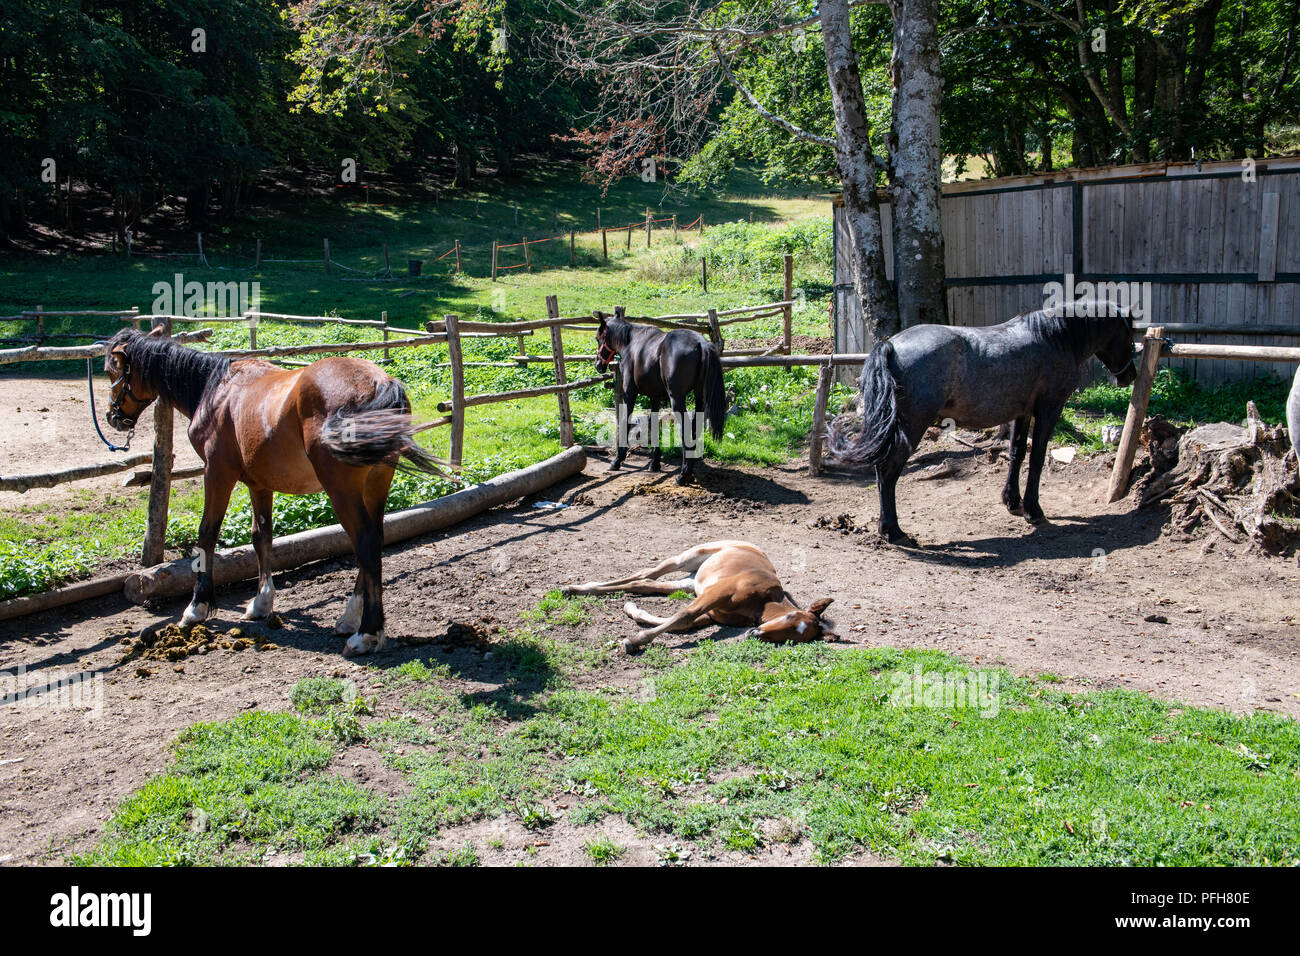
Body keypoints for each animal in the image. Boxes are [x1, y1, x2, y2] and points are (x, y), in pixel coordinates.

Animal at [101, 326, 452, 656]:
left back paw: (366, 634)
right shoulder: (259, 484)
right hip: (377, 483)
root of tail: (380, 383)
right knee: (375, 538)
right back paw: (350, 618)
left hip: (342, 490)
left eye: (112, 370)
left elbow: (207, 534)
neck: (216, 391)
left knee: (364, 542)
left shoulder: (216, 473)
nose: (112, 416)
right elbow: (262, 537)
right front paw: (261, 602)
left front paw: (196, 607)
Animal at [564, 540, 835, 653]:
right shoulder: (717, 594)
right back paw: (574, 588)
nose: (755, 633)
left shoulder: (714, 614)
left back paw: (581, 589)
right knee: (646, 573)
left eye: (793, 639)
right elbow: (684, 616)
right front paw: (633, 641)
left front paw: (633, 611)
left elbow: (680, 624)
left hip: (689, 583)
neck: (761, 603)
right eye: (789, 617)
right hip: (687, 559)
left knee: (644, 583)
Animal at [594, 306, 726, 484]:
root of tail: (701, 343)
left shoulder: (629, 393)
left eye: (598, 339)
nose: (598, 365)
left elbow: (625, 422)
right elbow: (654, 424)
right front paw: (655, 463)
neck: (630, 342)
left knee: (685, 430)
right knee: (694, 428)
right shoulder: (655, 397)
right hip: (699, 398)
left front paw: (617, 460)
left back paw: (683, 475)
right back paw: (689, 471)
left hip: (677, 400)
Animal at [826, 301, 1138, 544]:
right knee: (888, 470)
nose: (1130, 376)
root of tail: (891, 345)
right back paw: (893, 530)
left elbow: (1017, 453)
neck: (1056, 338)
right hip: (912, 427)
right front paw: (1033, 509)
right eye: (1128, 334)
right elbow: (1037, 457)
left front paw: (1012, 501)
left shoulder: (1022, 412)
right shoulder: (1049, 409)